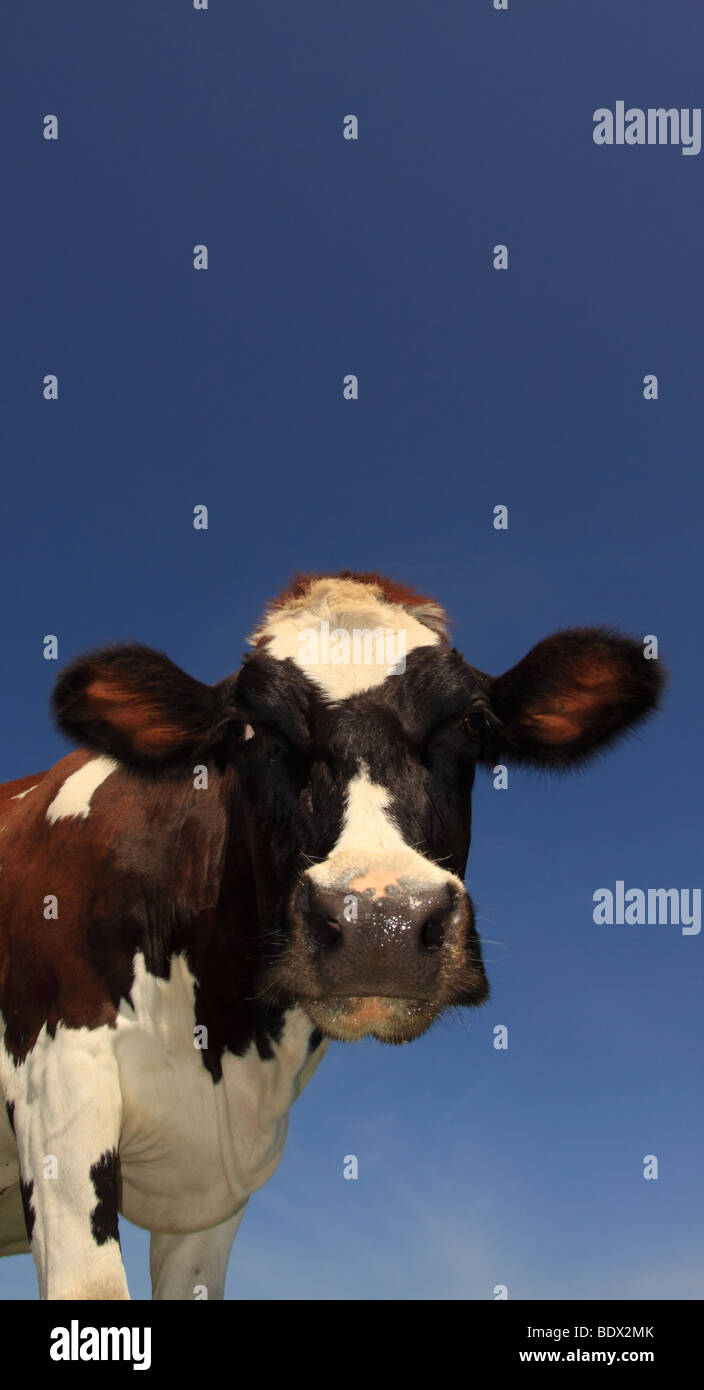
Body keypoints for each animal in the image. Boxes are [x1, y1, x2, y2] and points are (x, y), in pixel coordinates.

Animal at [0, 571, 662, 1299]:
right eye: (249, 729)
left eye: (471, 722)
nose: (379, 923)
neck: (224, 1047)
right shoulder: (59, 1082)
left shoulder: (214, 1195)